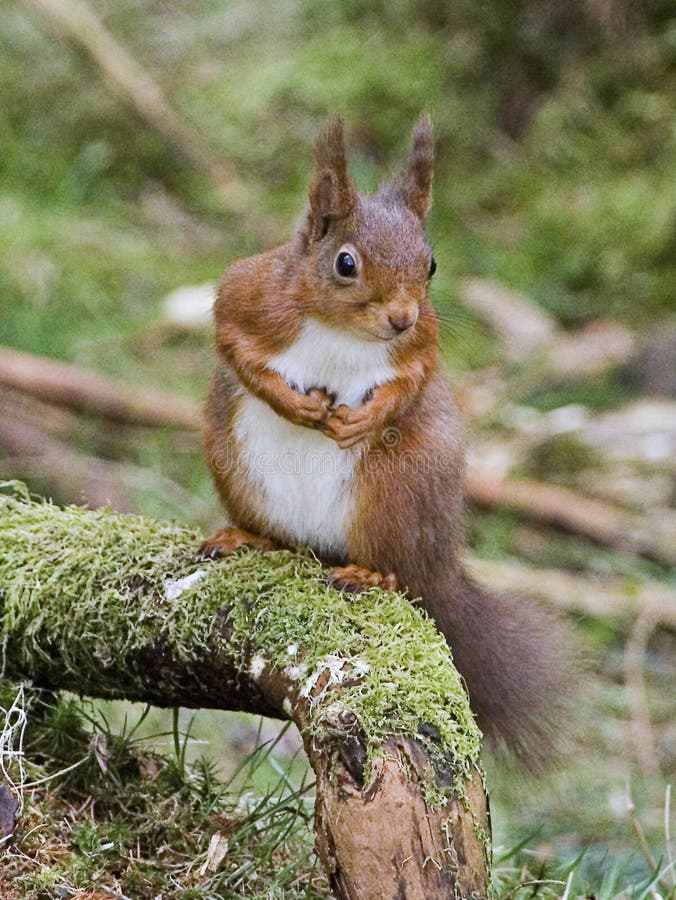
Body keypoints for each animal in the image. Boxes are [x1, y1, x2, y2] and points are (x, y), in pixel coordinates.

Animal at [201, 116, 574, 764]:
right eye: (345, 263)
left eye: (432, 265)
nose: (401, 316)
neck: (340, 330)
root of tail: (441, 563)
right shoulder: (249, 292)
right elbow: (230, 337)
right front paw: (295, 403)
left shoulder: (422, 342)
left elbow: (415, 376)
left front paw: (364, 418)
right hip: (235, 462)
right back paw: (252, 537)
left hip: (395, 491)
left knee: (402, 572)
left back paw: (375, 575)